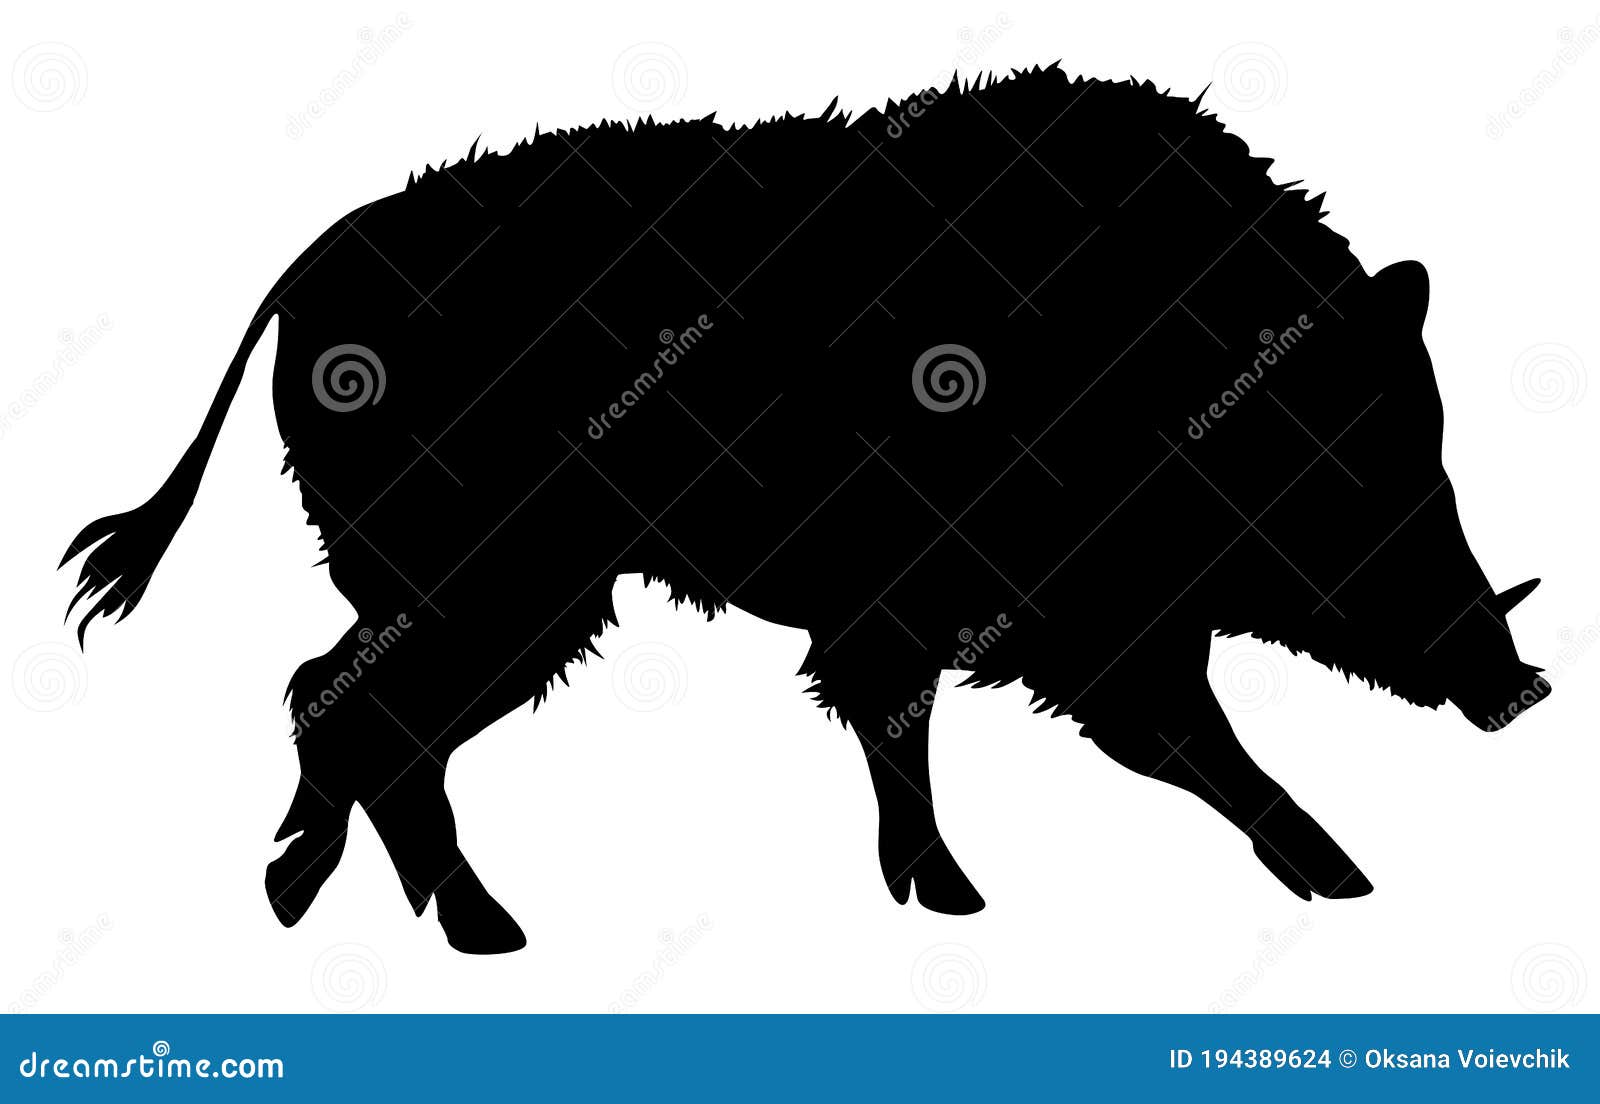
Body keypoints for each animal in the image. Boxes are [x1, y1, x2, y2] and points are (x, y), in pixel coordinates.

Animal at [62, 66, 1548, 952]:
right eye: (1352, 466)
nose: (1517, 682)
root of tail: (315, 262)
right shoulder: (1067, 625)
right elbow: (1164, 734)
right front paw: (1336, 878)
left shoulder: (987, 621)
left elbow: (925, 726)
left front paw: (946, 899)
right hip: (500, 583)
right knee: (351, 705)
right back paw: (468, 929)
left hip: (494, 591)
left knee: (351, 707)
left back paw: (341, 904)